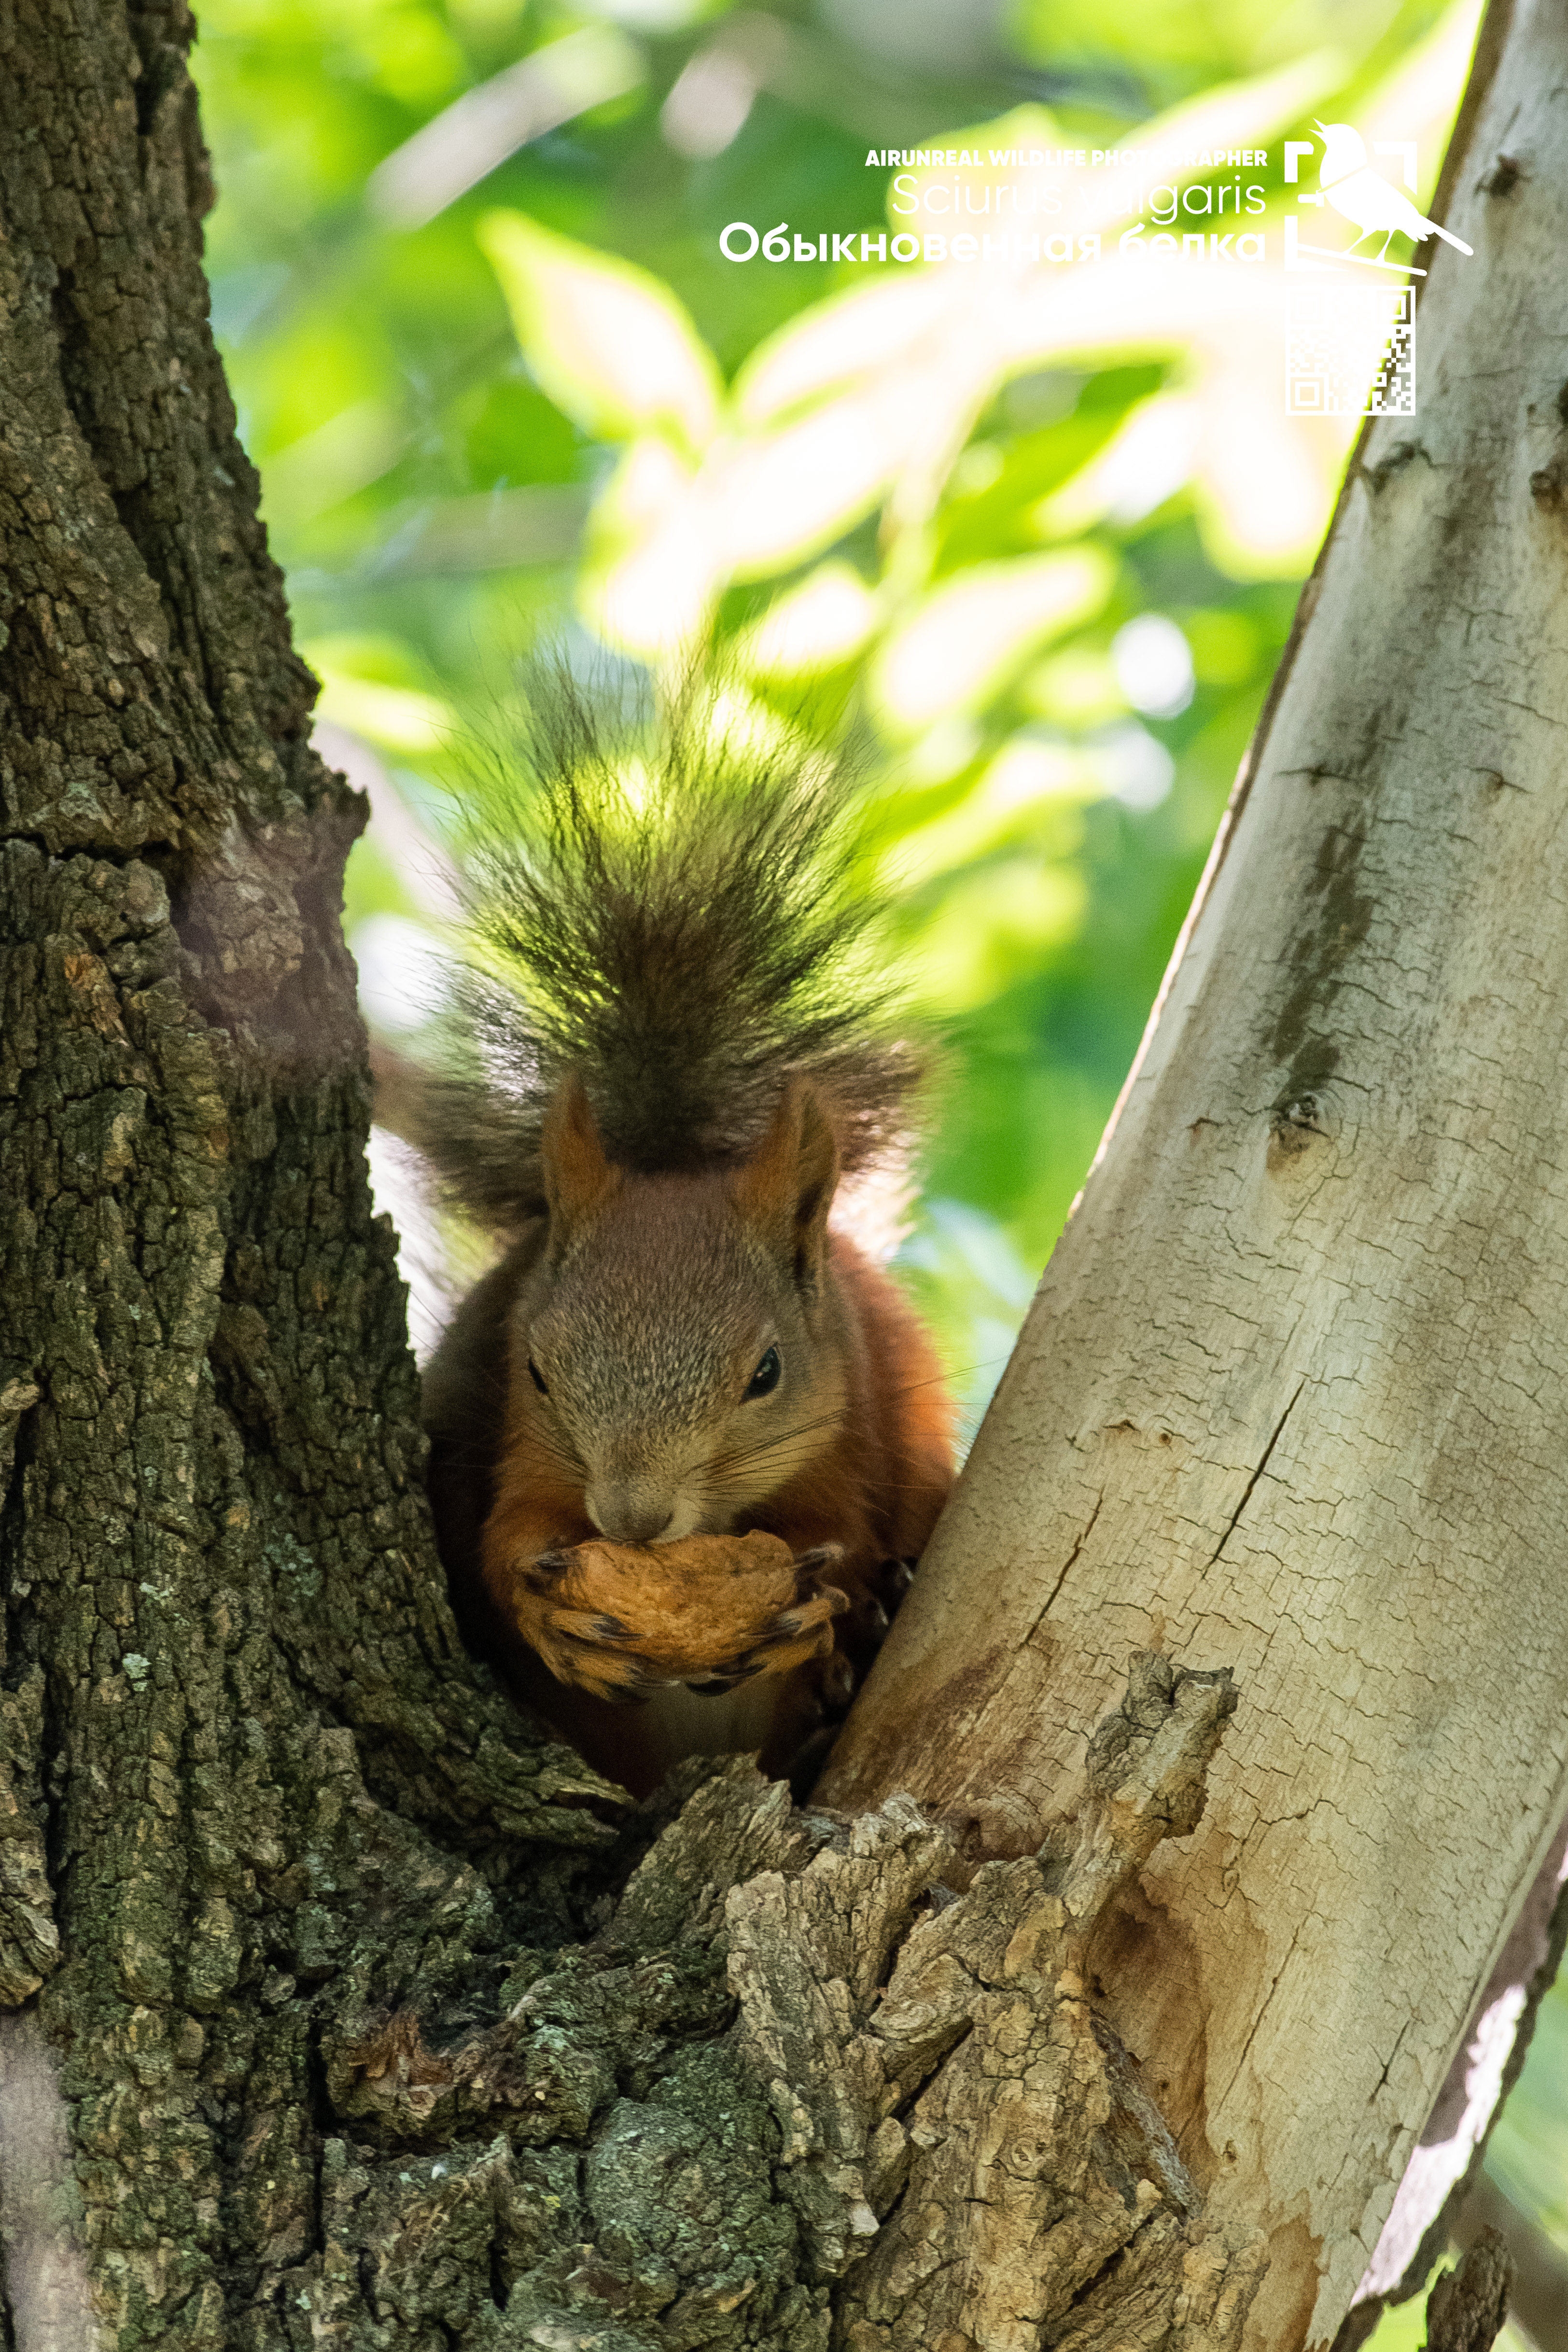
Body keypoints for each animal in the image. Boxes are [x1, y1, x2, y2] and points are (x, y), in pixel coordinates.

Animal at [411, 686, 950, 1797]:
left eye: (768, 1373)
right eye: (536, 1368)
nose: (632, 1520)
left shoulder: (850, 1427)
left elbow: (841, 1529)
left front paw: (818, 1606)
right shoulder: (529, 1449)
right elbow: (505, 1538)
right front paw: (550, 1613)